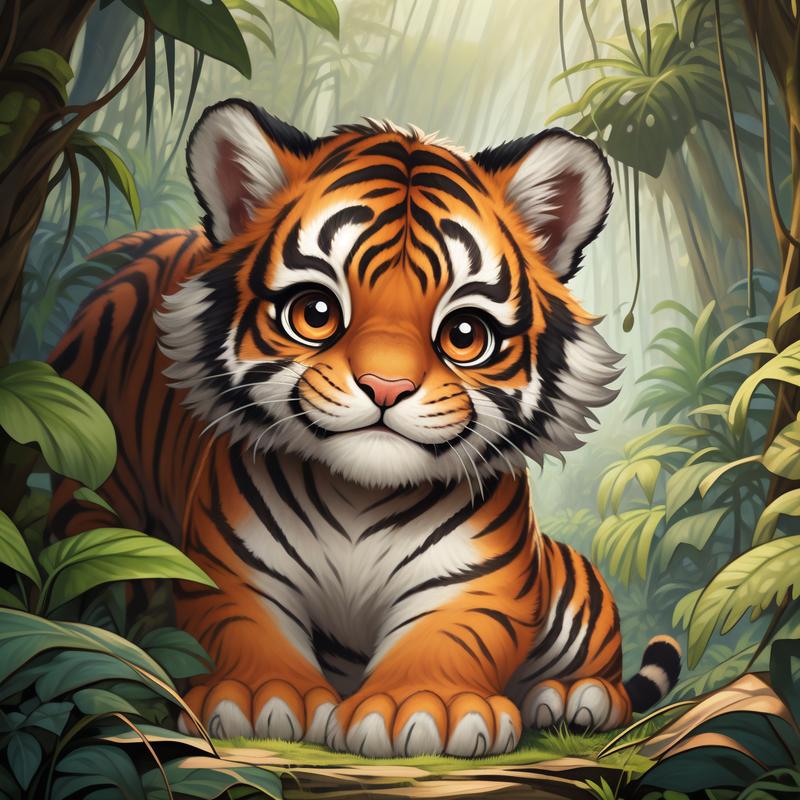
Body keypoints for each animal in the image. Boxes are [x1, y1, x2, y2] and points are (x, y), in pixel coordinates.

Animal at [49, 98, 681, 757]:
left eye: (465, 334)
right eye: (315, 312)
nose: (386, 386)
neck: (358, 495)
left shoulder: (476, 579)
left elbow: (453, 636)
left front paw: (422, 709)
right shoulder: (233, 563)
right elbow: (241, 624)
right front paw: (262, 699)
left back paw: (575, 697)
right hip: (95, 501)